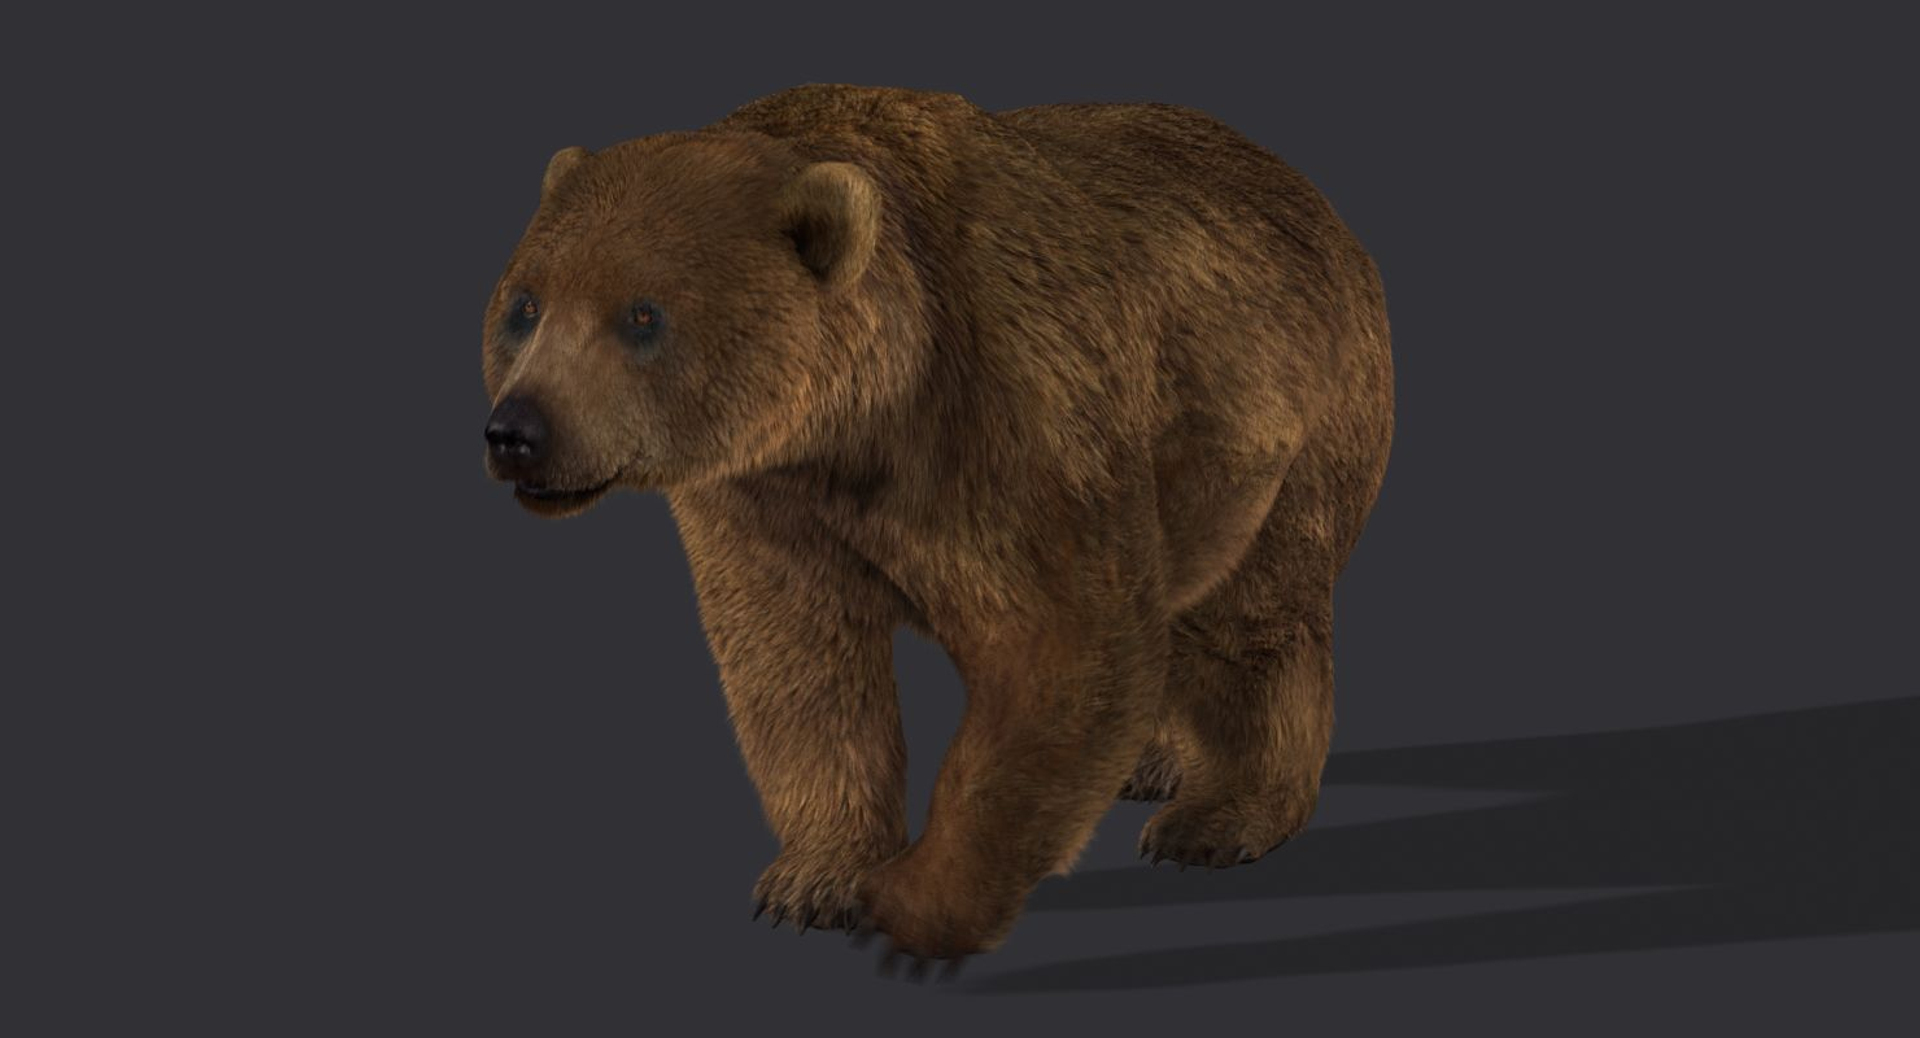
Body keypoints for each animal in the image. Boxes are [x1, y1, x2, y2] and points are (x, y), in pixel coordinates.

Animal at [479, 83, 1393, 971]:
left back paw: (1219, 816)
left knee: (1253, 616)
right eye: (525, 305)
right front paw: (817, 877)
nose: (518, 431)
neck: (863, 418)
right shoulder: (763, 498)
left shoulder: (1016, 412)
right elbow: (799, 661)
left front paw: (916, 904)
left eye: (641, 315)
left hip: (1292, 416)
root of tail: (1315, 198)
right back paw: (1156, 762)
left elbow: (1059, 644)